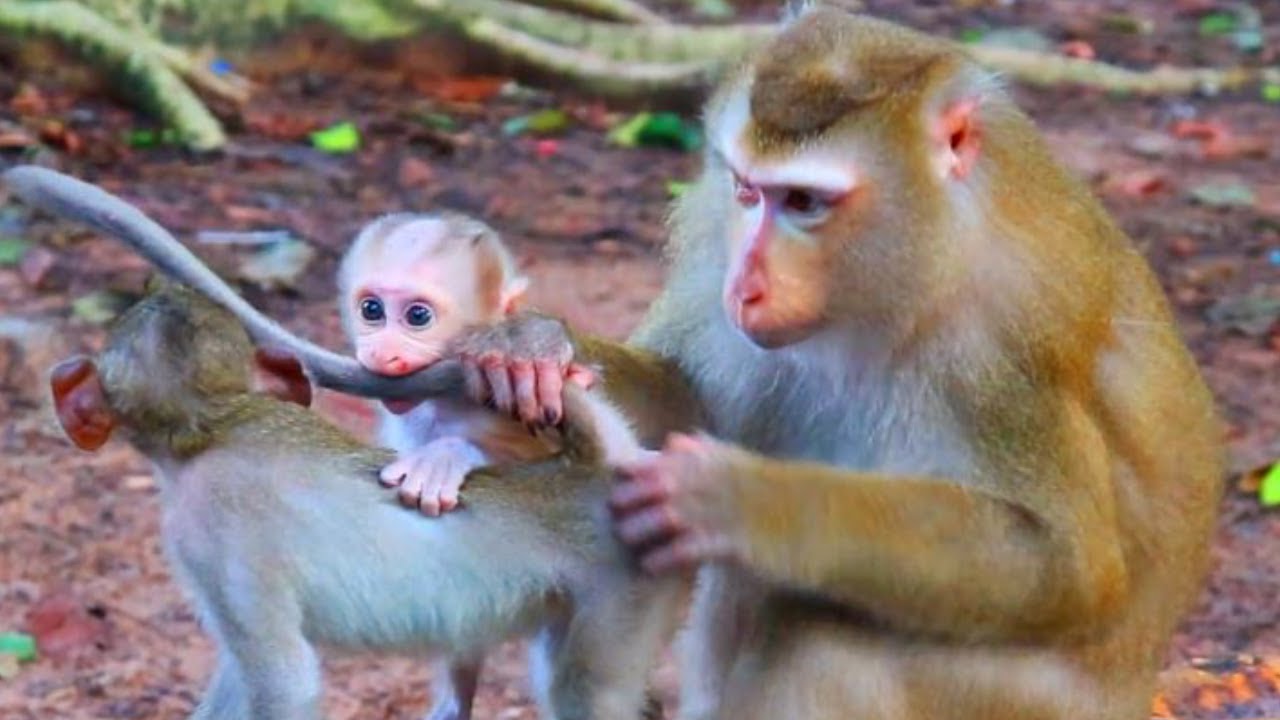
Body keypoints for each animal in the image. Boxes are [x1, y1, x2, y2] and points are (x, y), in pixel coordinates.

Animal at [48, 281, 687, 720]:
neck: (214, 424)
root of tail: (601, 471)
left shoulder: (204, 527)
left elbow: (284, 683)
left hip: (627, 590)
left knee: (587, 691)